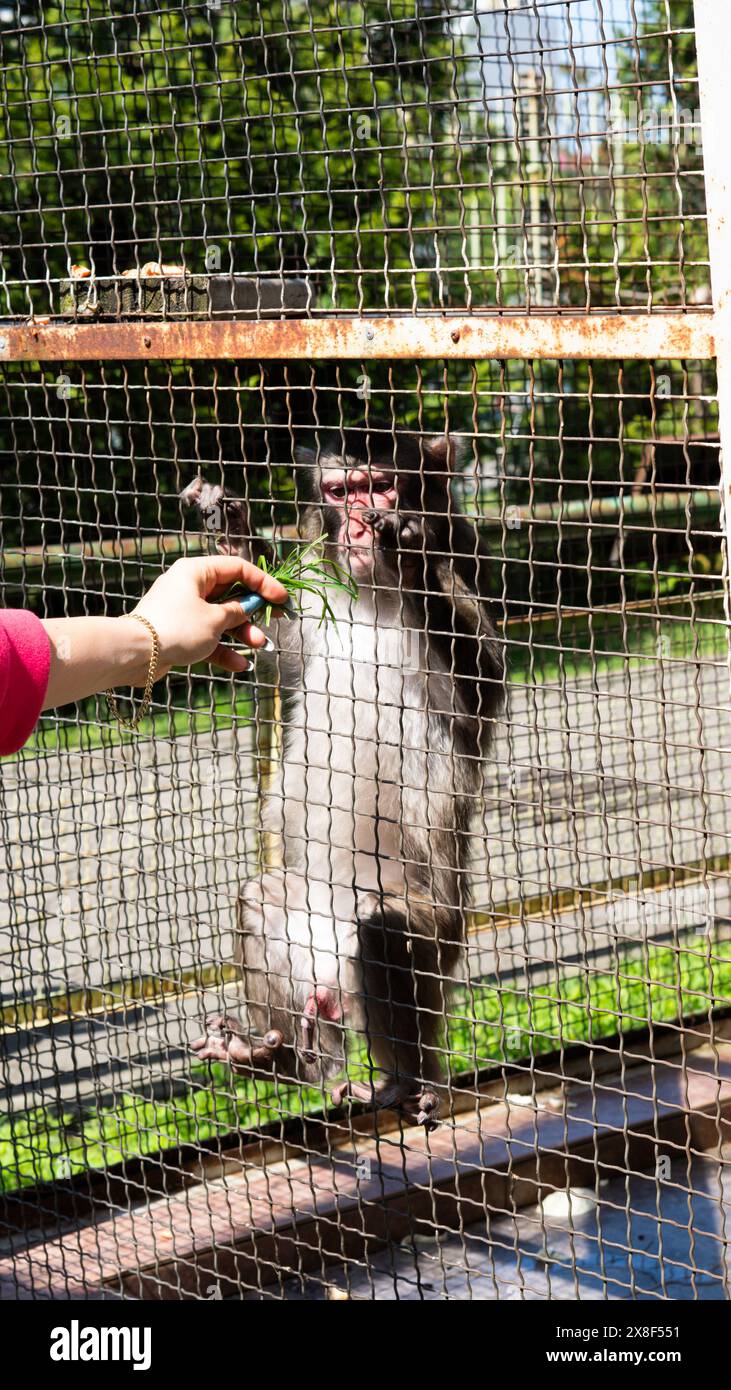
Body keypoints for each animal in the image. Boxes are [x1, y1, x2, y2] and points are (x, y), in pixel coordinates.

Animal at [182, 426, 504, 1128]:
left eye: (378, 486)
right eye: (338, 491)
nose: (359, 525)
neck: (371, 592)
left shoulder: (468, 560)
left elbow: (475, 694)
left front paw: (412, 554)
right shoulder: (314, 575)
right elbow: (283, 658)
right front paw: (233, 536)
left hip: (436, 936)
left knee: (383, 935)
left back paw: (409, 1081)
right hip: (310, 935)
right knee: (263, 901)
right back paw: (279, 1059)